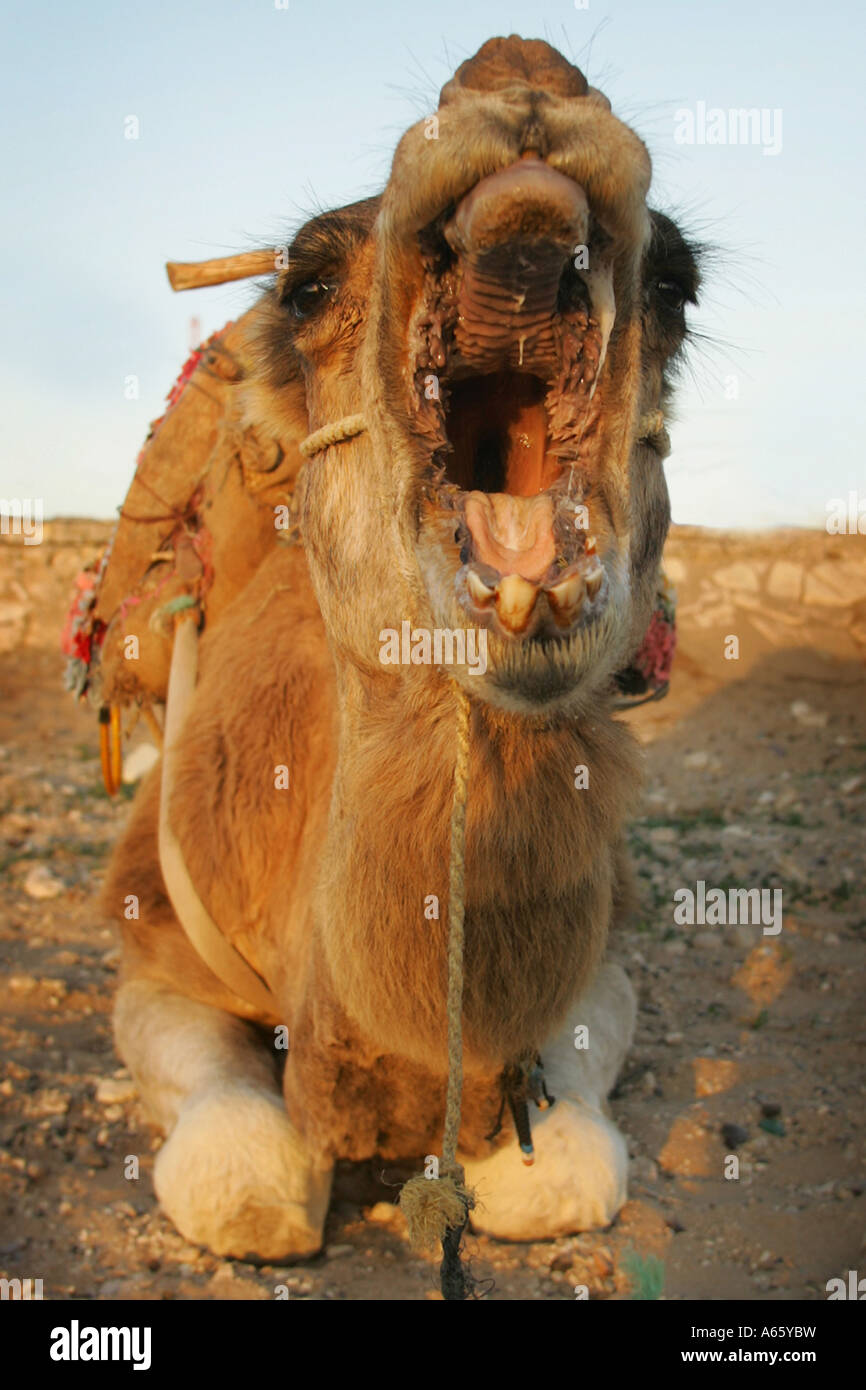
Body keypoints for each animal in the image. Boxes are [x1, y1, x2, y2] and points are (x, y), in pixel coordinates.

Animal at [97, 36, 701, 1270]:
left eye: (677, 283)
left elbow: (559, 1171)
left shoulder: (601, 955)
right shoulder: (155, 948)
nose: (524, 69)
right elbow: (248, 1180)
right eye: (306, 284)